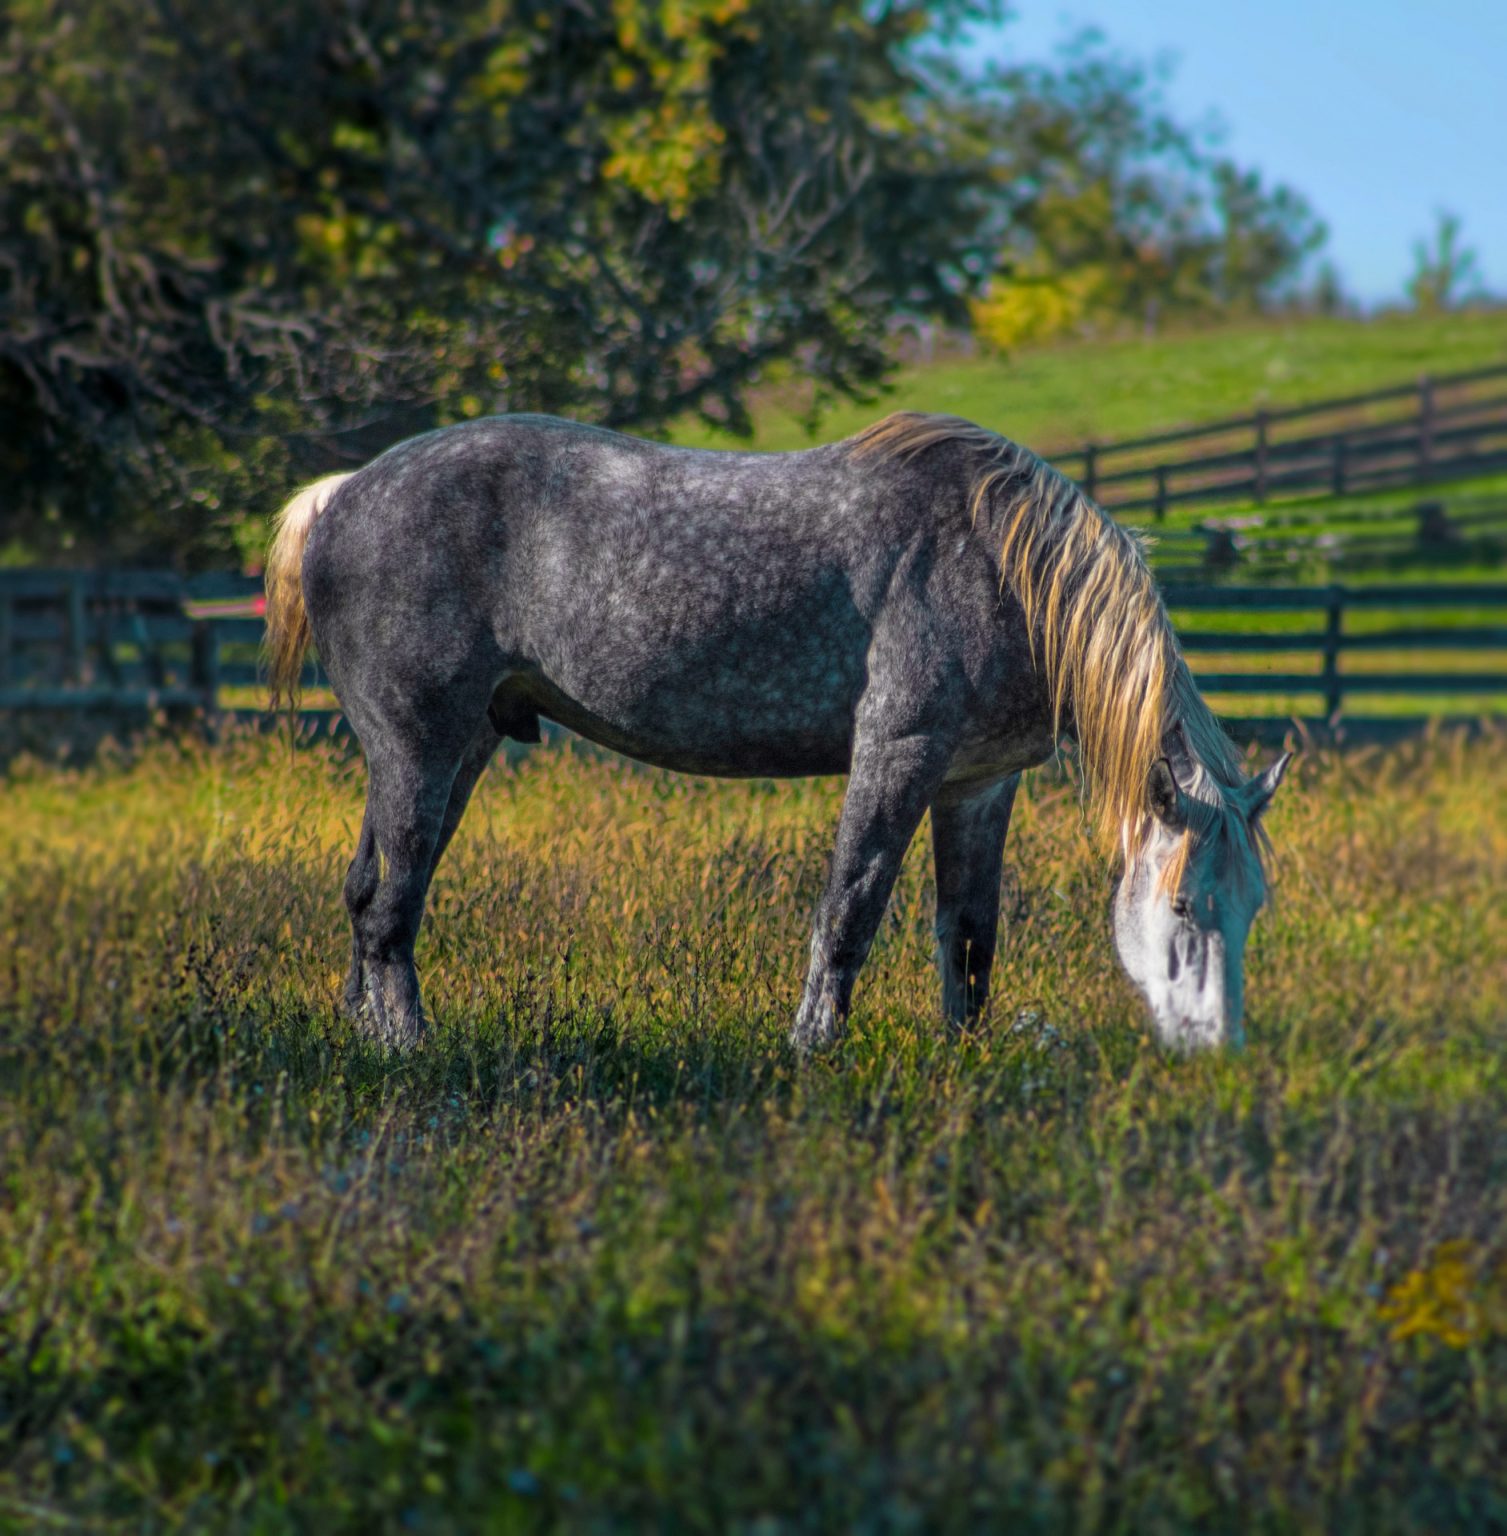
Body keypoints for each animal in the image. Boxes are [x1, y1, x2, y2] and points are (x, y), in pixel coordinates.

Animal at [264, 411, 1290, 1053]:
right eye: (1185, 905)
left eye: (1253, 908)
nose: (1217, 1051)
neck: (1003, 566)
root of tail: (341, 494)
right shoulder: (898, 755)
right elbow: (849, 909)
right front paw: (813, 1047)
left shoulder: (976, 783)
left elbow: (968, 933)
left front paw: (962, 1057)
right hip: (419, 747)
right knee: (390, 909)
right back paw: (408, 1048)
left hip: (452, 750)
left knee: (368, 893)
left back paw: (363, 1036)